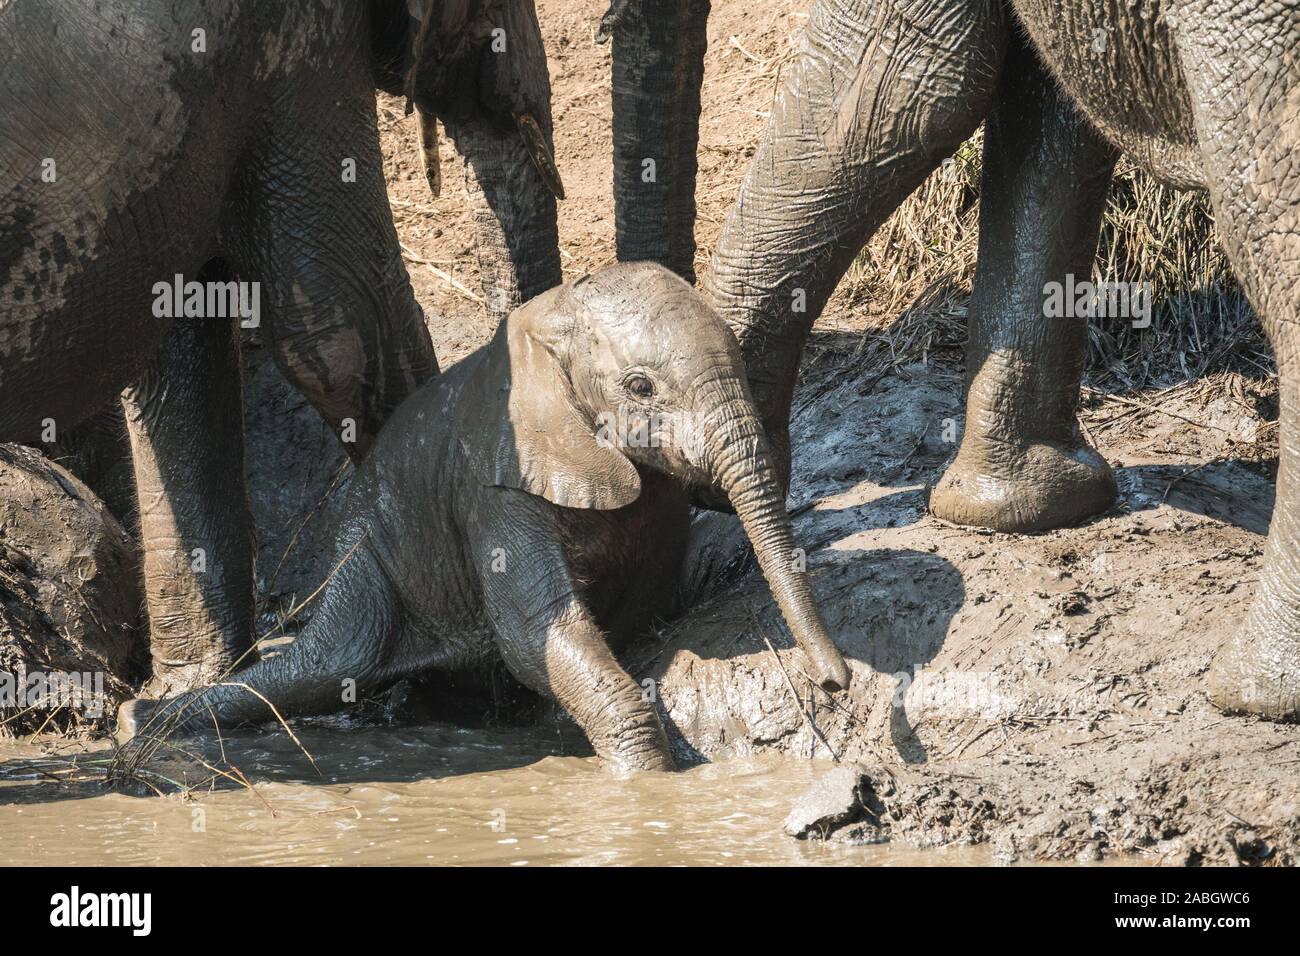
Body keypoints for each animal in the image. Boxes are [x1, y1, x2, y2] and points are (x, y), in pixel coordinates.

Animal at [116, 263, 851, 772]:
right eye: (640, 387)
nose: (835, 680)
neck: (553, 322)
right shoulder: (497, 488)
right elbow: (534, 637)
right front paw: (644, 781)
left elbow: (669, 578)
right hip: (365, 554)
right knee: (328, 664)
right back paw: (139, 724)